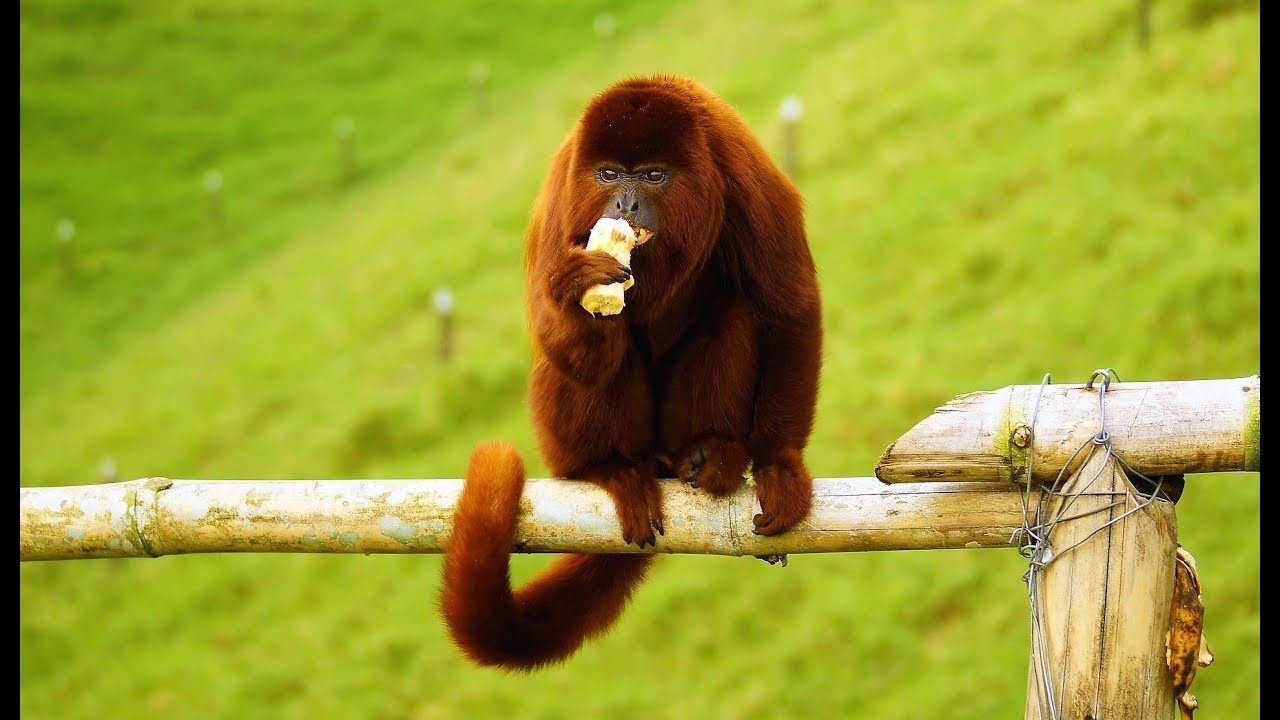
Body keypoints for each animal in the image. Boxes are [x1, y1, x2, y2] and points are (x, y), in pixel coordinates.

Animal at [439, 74, 823, 671]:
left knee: (734, 308)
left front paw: (779, 464)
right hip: (569, 446)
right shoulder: (564, 196)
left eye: (653, 176)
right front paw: (581, 290)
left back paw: (710, 453)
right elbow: (561, 339)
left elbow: (790, 308)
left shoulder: (743, 170)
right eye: (610, 174)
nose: (625, 201)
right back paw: (611, 469)